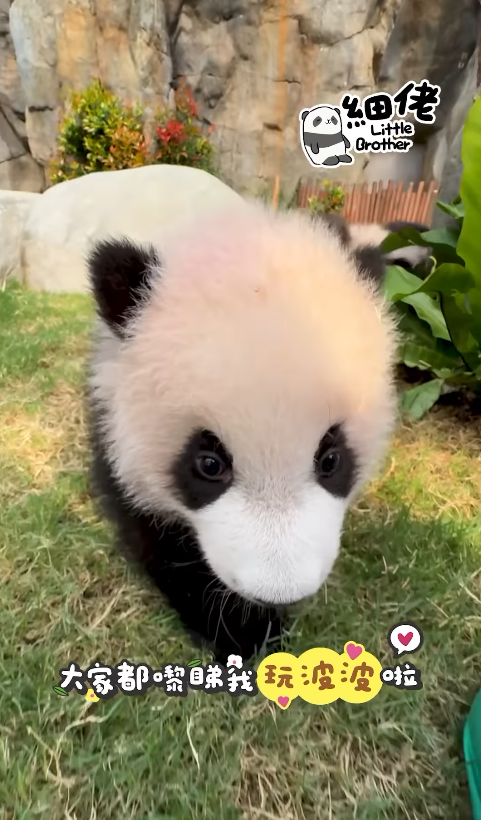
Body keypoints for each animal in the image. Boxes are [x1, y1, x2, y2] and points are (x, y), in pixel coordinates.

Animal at [86, 202, 398, 664]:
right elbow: (146, 521)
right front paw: (243, 629)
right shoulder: (111, 415)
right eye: (209, 464)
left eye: (331, 459)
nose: (280, 592)